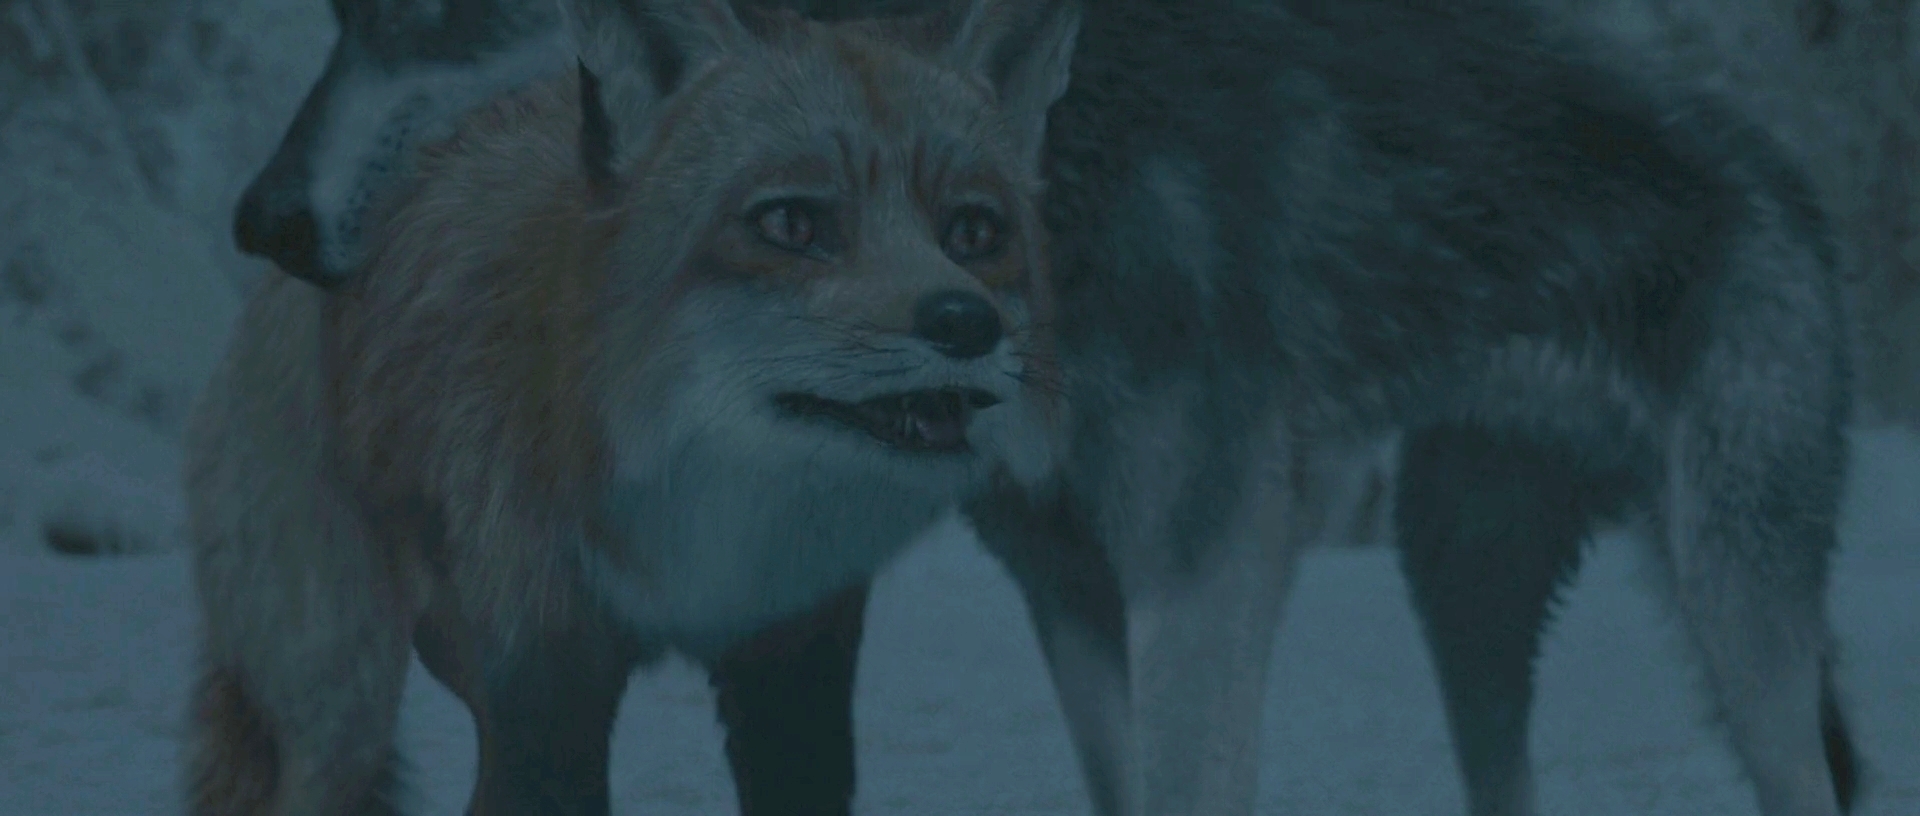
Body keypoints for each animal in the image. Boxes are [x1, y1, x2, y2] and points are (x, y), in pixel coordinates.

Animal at [183, 0, 1074, 814]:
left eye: (974, 231)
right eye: (792, 222)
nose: (966, 323)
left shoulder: (794, 652)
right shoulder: (543, 678)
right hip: (340, 710)